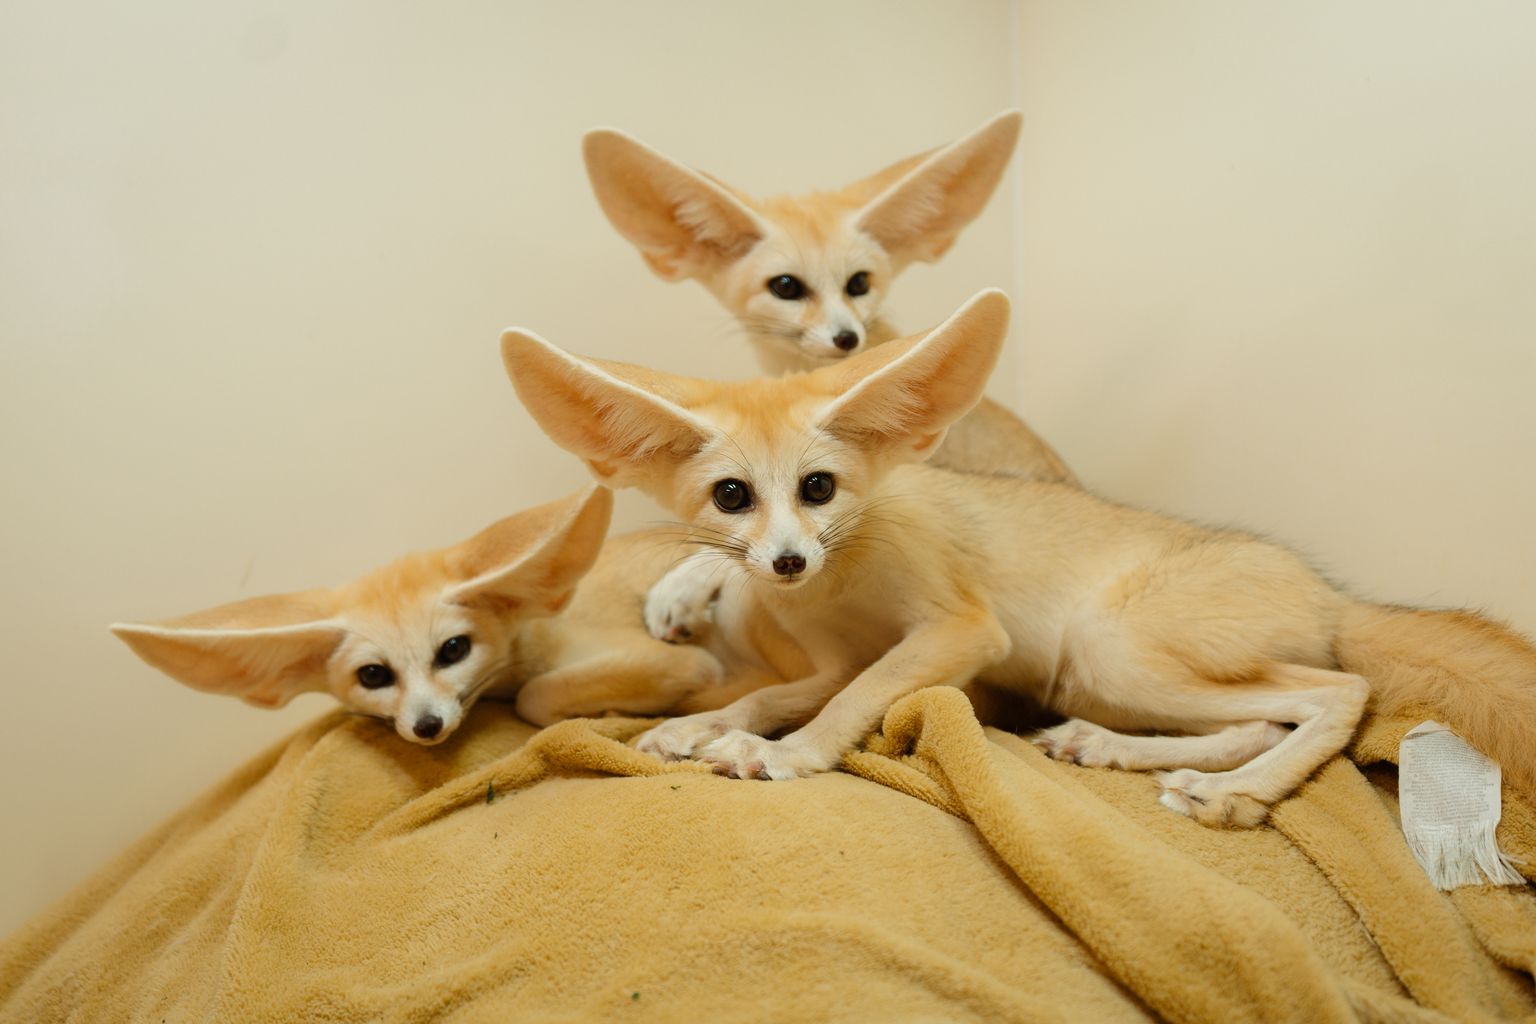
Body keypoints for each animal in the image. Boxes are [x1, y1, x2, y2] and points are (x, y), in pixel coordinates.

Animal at [499, 289, 1536, 827]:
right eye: (732, 498)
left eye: (819, 487)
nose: (787, 563)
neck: (837, 580)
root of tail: (1328, 589)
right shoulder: (830, 652)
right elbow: (779, 690)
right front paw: (700, 727)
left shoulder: (960, 632)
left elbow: (857, 699)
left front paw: (788, 755)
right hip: (1105, 676)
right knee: (1261, 717)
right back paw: (1125, 753)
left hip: (1110, 646)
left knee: (1336, 693)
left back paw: (1239, 794)